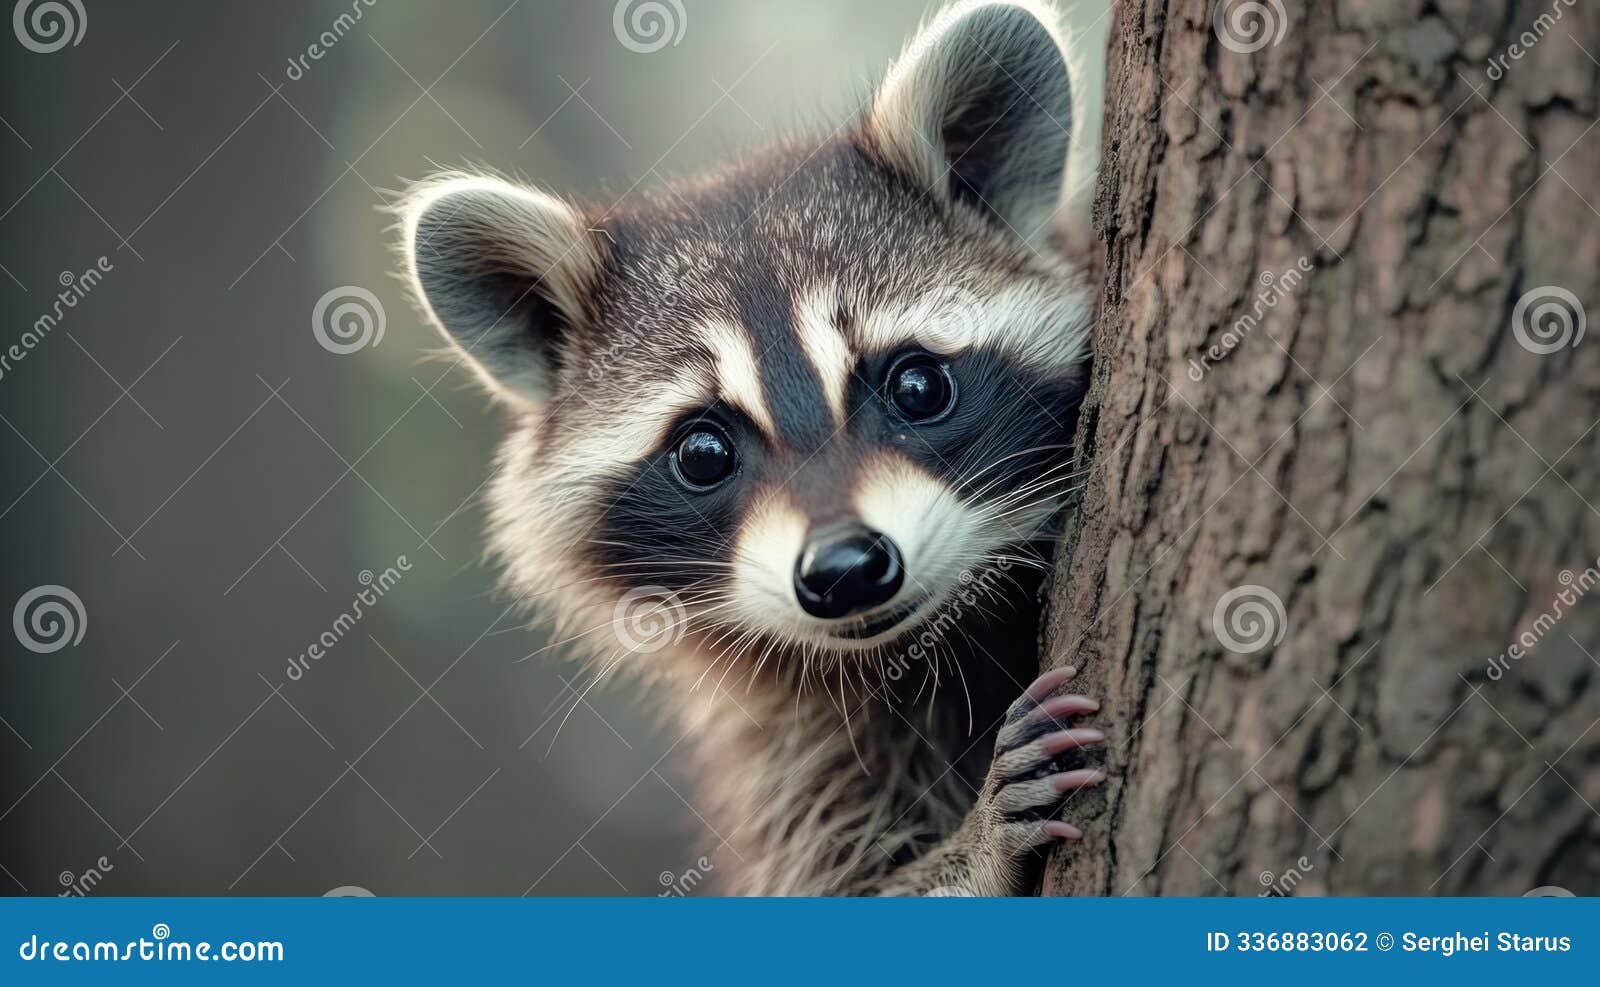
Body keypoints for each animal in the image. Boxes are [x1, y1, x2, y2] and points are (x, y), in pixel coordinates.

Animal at [400, 0, 1105, 895]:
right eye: (703, 453)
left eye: (917, 386)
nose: (846, 570)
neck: (922, 647)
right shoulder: (787, 749)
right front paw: (974, 841)